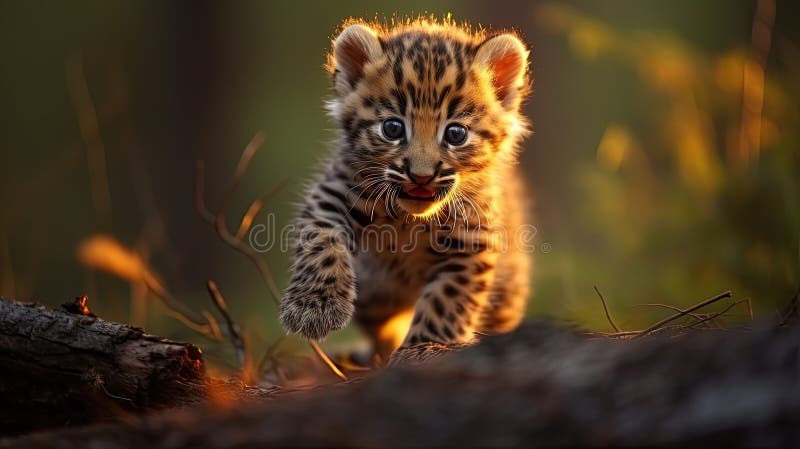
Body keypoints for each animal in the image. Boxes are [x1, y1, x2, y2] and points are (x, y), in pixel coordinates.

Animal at [279, 18, 533, 362]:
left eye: (455, 134)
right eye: (393, 128)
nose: (421, 176)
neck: (409, 220)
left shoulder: (471, 244)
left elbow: (446, 301)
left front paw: (423, 349)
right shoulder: (333, 194)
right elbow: (322, 241)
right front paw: (314, 307)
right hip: (373, 292)